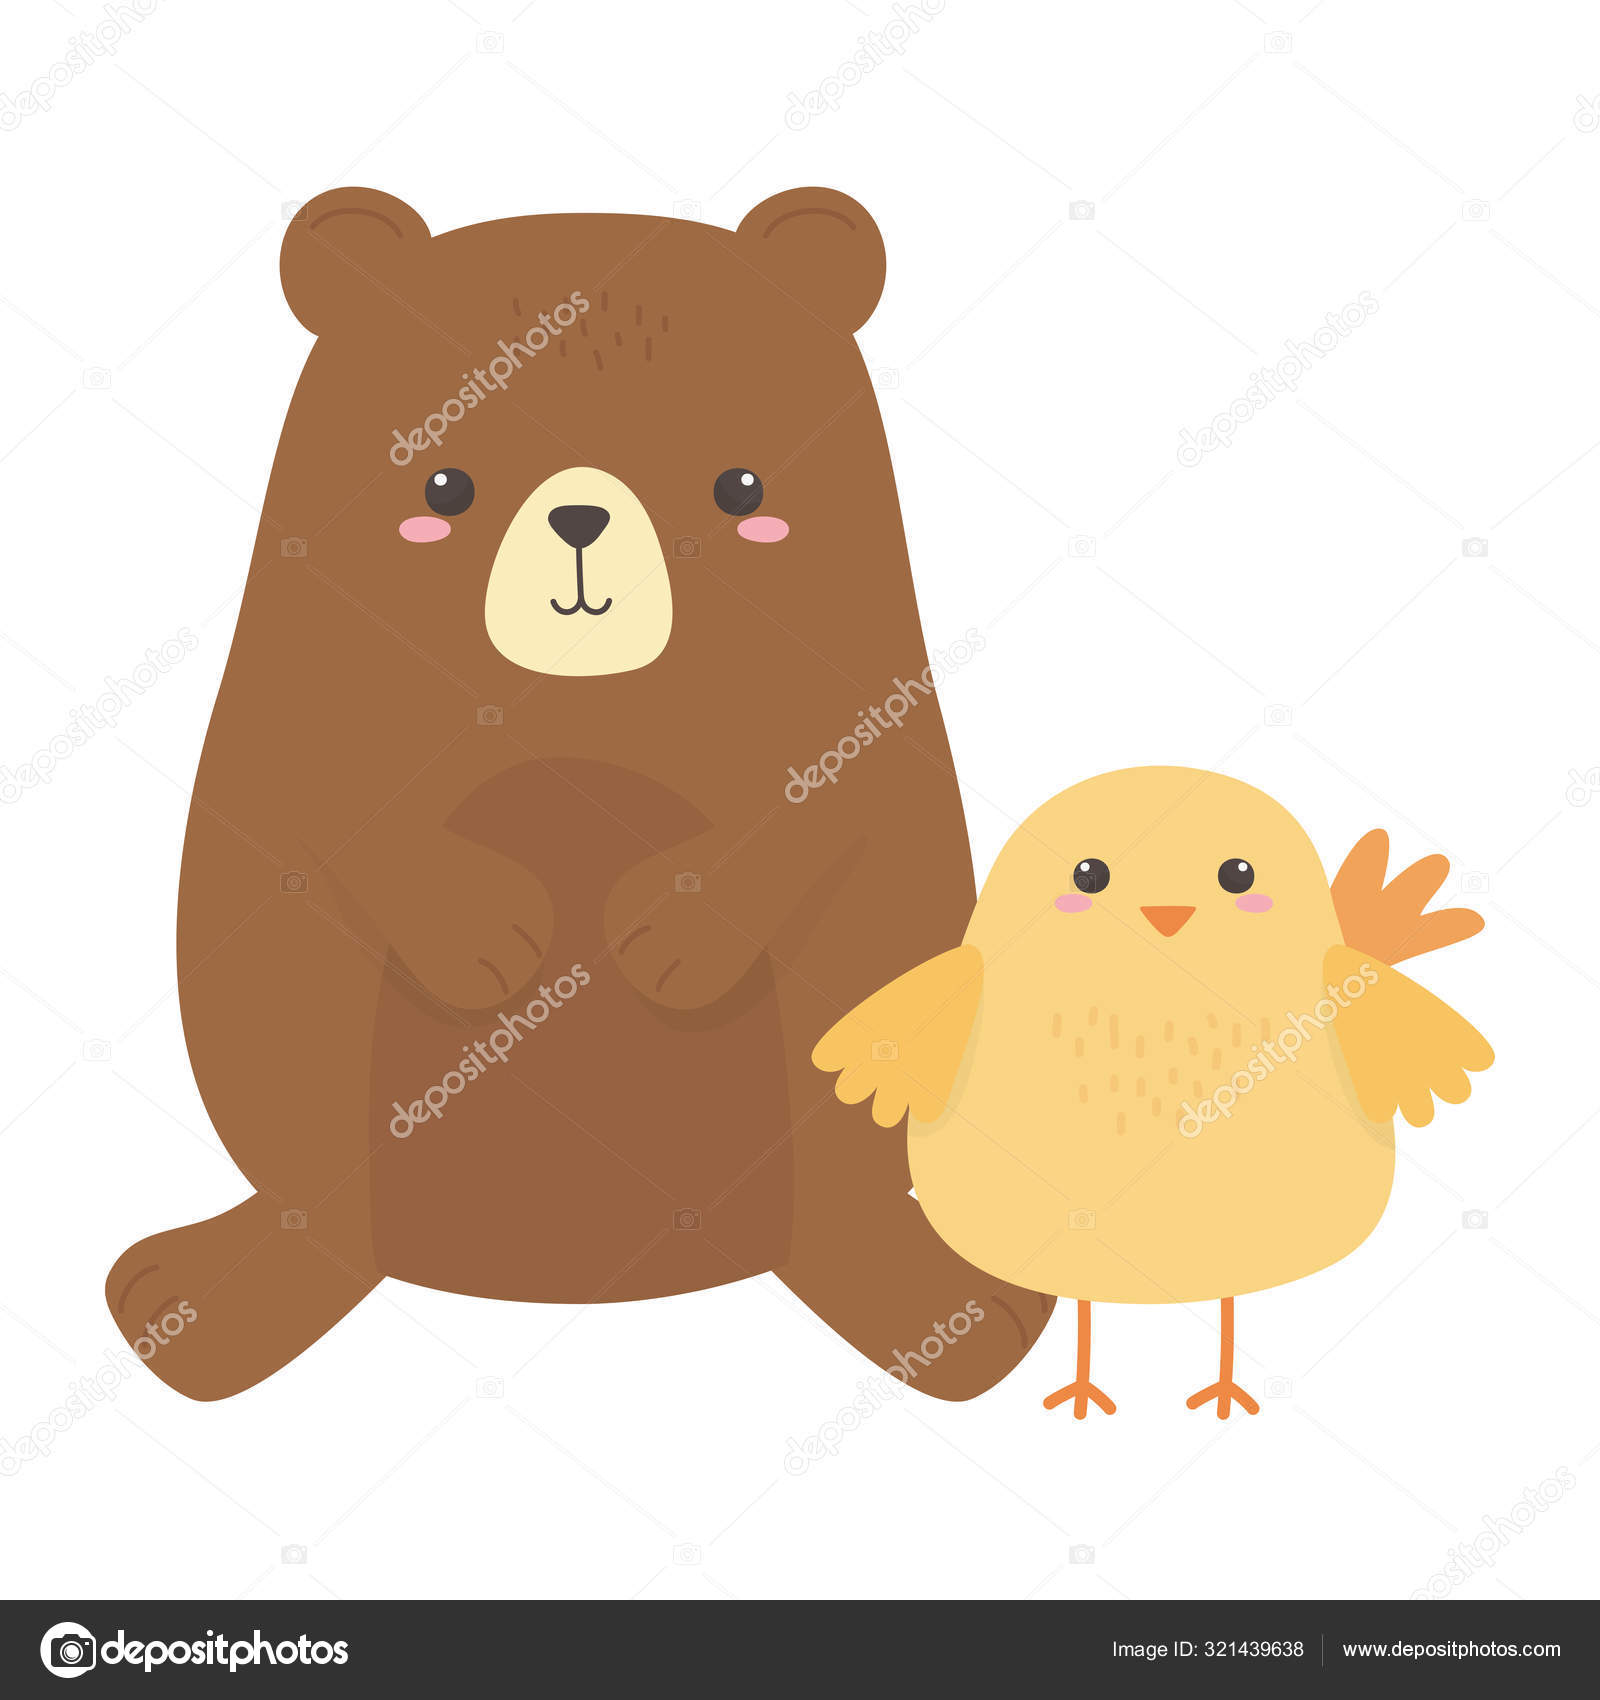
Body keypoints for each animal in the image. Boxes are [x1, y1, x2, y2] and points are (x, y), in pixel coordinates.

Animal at [106, 186, 1054, 1400]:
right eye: (443, 485)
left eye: (742, 488)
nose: (579, 523)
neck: (578, 700)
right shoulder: (313, 679)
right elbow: (321, 785)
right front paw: (490, 935)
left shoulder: (846, 687)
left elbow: (830, 792)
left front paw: (666, 935)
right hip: (294, 1028)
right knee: (302, 1111)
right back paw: (198, 1301)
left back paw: (952, 1308)